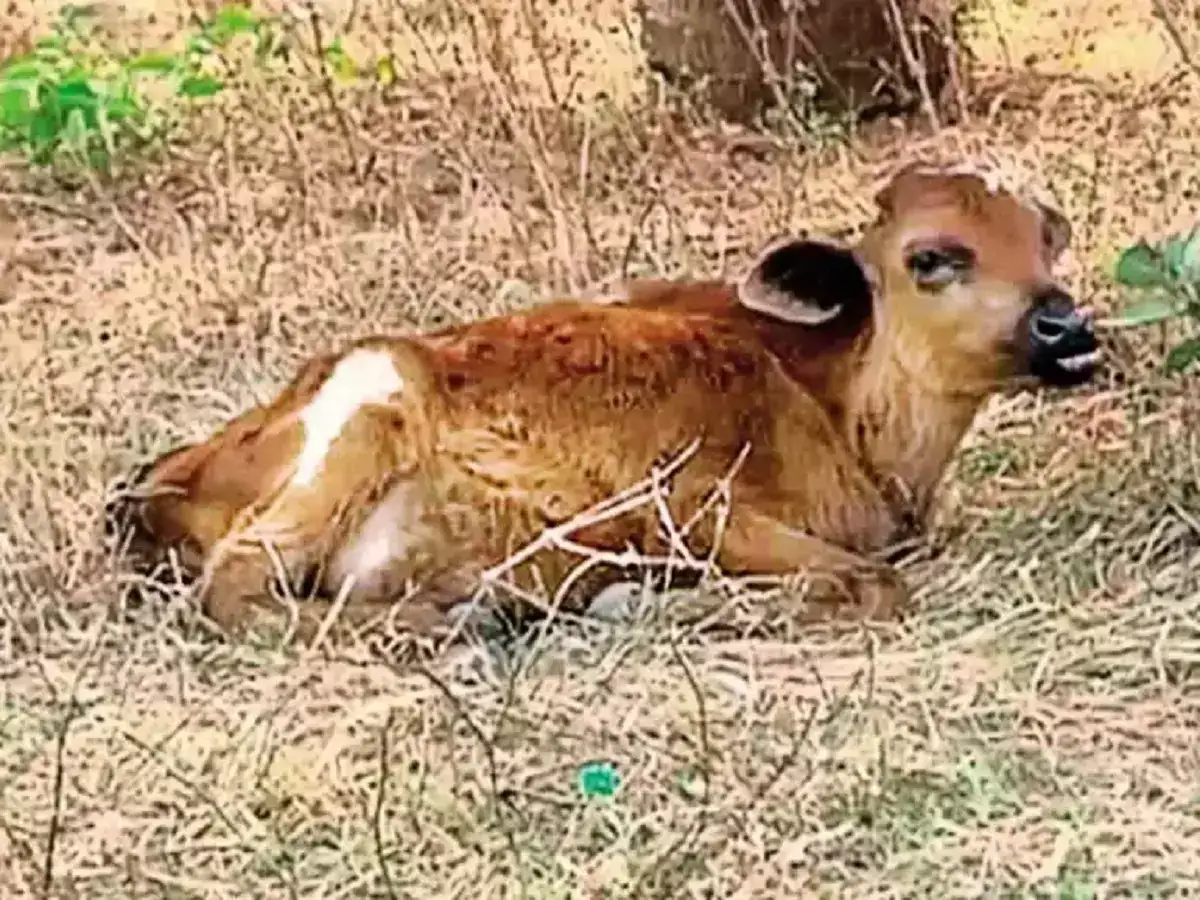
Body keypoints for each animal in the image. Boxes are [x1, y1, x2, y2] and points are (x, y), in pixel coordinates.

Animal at [105, 161, 1100, 648]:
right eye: (933, 256)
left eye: (1046, 238)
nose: (1068, 327)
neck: (835, 406)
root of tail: (167, 478)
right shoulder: (689, 504)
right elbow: (867, 582)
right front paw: (636, 606)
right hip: (364, 400)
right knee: (232, 586)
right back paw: (450, 625)